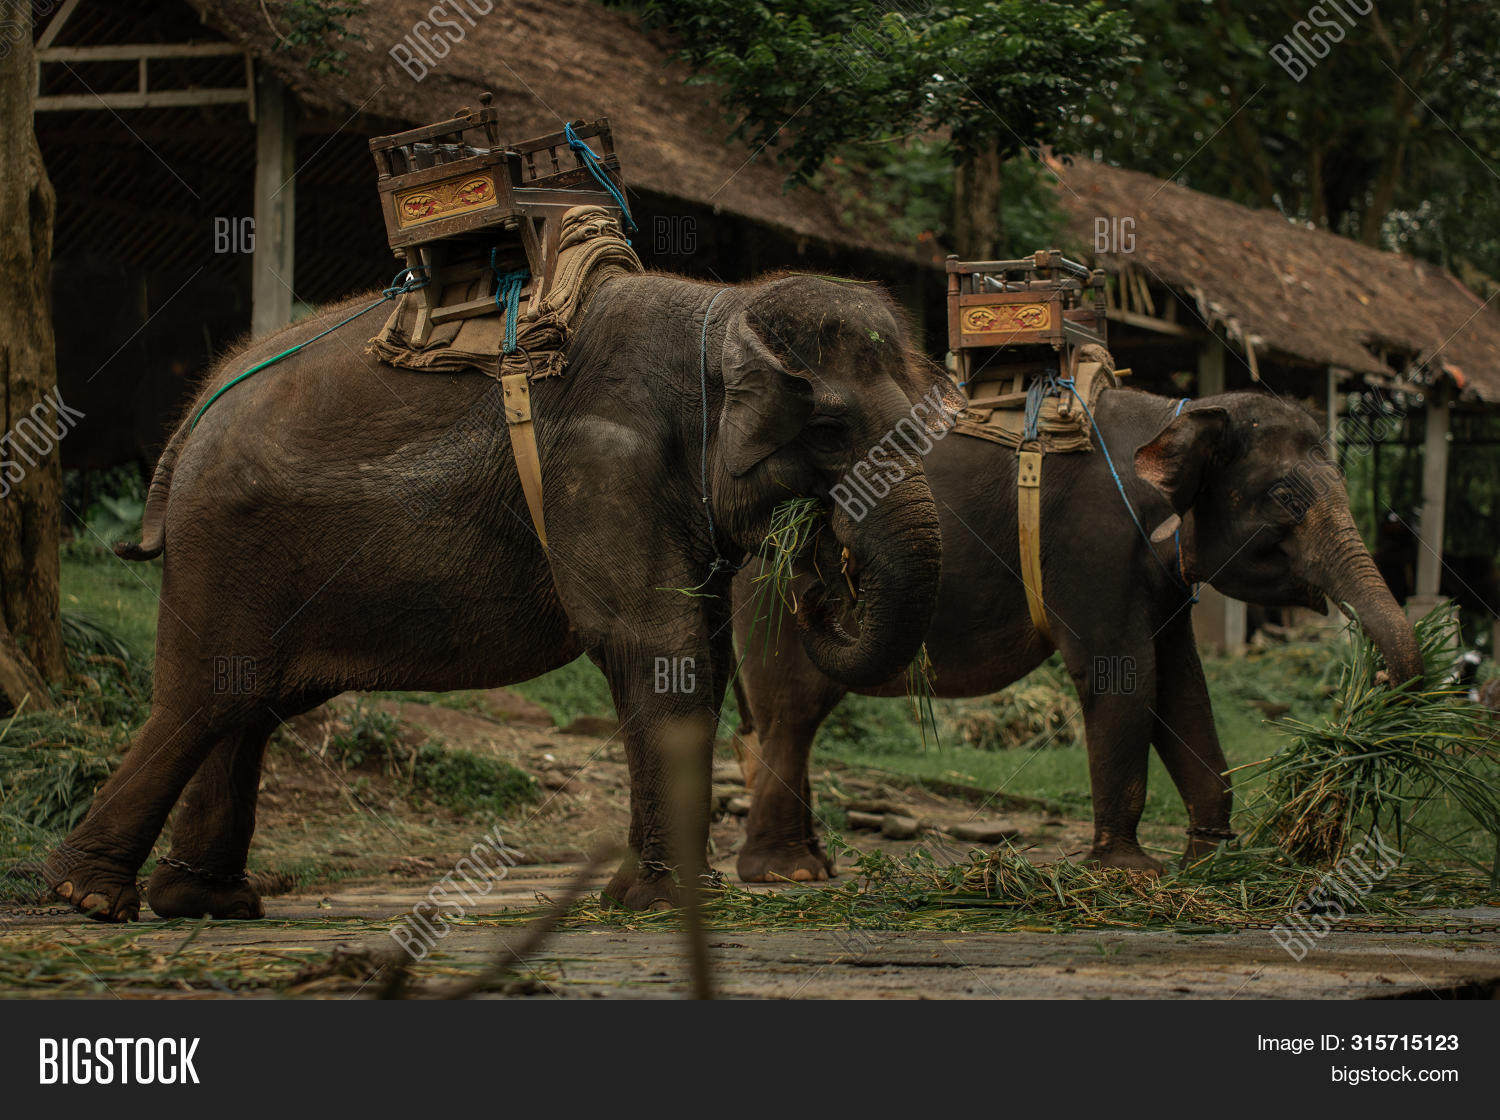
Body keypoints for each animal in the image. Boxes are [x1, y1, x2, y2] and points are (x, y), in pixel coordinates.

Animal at [43, 271, 959, 921]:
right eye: (832, 428)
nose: (820, 569)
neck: (719, 304)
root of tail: (196, 410)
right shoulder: (598, 464)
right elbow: (655, 644)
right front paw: (666, 903)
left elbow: (697, 648)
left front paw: (637, 897)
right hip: (227, 544)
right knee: (208, 697)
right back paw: (89, 897)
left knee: (249, 708)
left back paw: (203, 903)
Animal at [731, 386, 1424, 883]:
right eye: (1283, 497)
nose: (1374, 678)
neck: (1181, 414)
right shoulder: (1094, 546)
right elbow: (1124, 675)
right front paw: (1128, 872)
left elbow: (1182, 688)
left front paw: (1212, 864)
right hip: (772, 588)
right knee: (792, 710)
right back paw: (785, 873)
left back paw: (815, 864)